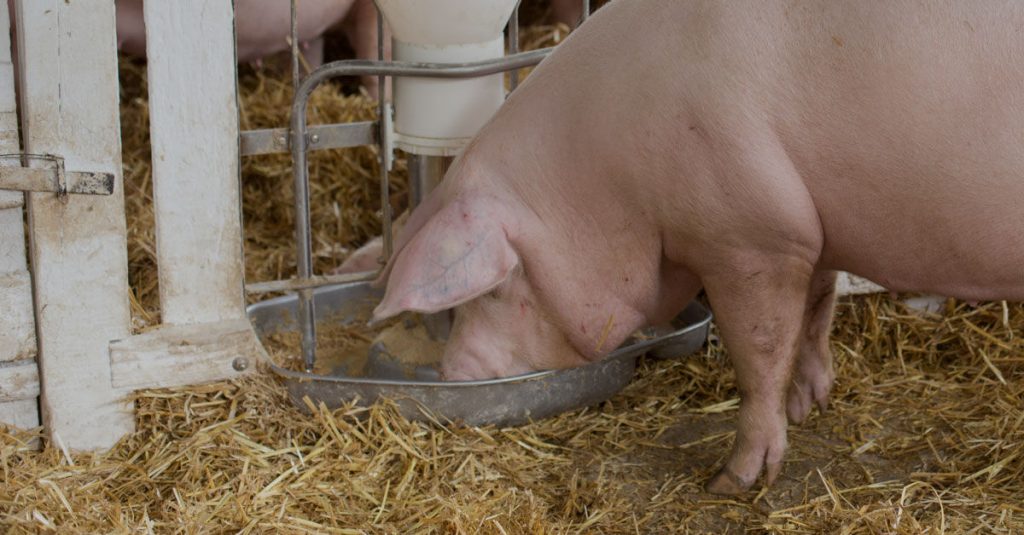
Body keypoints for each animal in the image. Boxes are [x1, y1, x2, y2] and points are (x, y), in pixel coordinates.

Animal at [370, 0, 1024, 494]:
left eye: (494, 292)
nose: (451, 373)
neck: (609, 178)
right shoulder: (809, 229)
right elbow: (815, 314)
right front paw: (810, 405)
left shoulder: (750, 238)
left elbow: (758, 353)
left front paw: (731, 482)